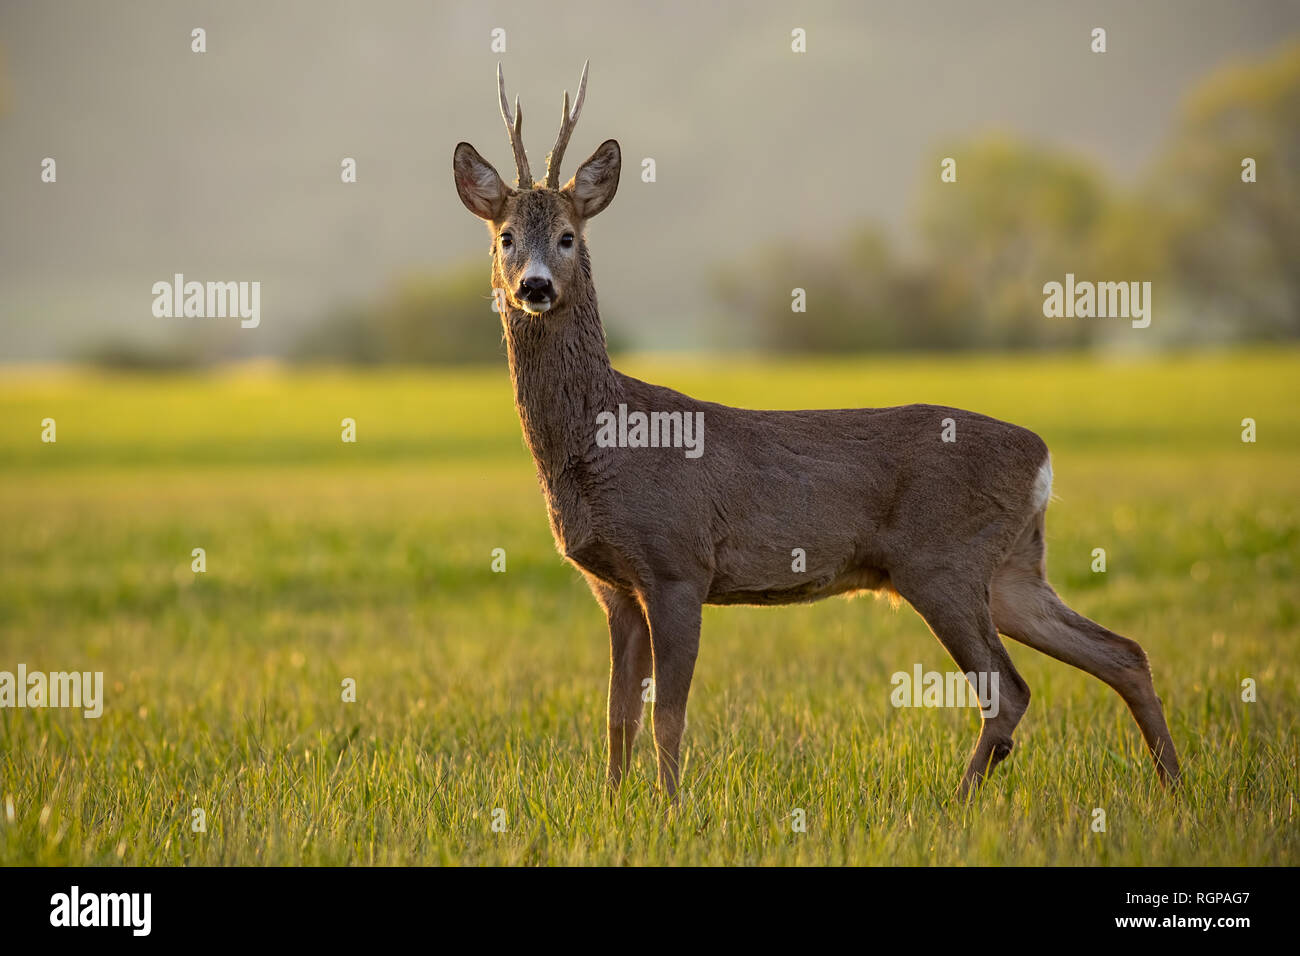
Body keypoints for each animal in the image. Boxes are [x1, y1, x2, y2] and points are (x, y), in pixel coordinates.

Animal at [452, 62, 1181, 801]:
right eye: (505, 237)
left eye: (569, 237)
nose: (534, 287)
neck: (603, 441)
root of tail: (1042, 457)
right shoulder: (615, 588)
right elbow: (616, 719)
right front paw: (614, 804)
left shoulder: (678, 562)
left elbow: (667, 717)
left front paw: (671, 809)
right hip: (1011, 570)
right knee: (1122, 652)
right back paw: (1175, 785)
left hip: (944, 560)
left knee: (1011, 689)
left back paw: (960, 802)